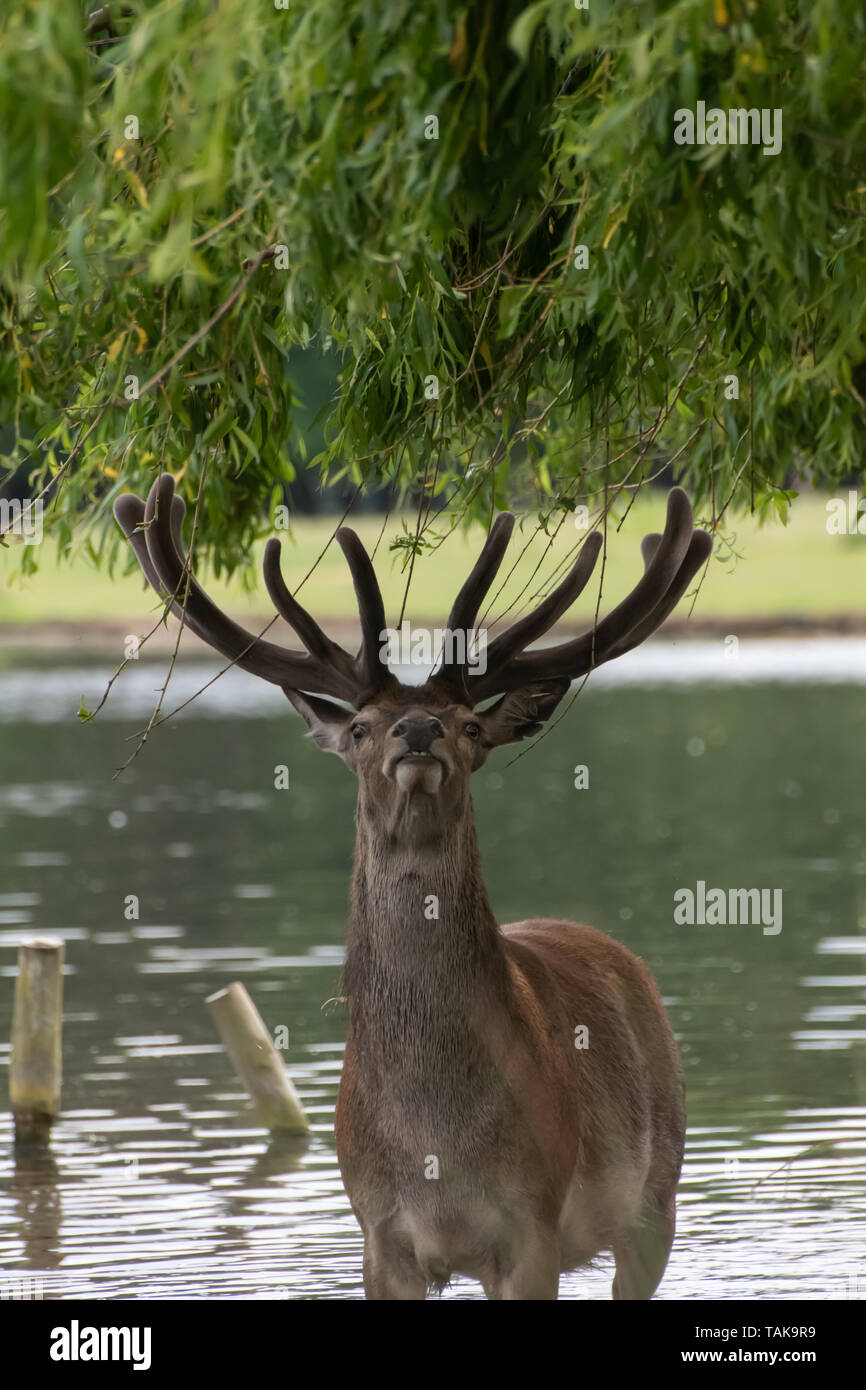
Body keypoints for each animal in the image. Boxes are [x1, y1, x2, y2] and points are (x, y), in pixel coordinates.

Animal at [114, 474, 712, 1300]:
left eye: (469, 724)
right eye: (362, 726)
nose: (420, 730)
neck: (436, 1146)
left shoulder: (532, 1227)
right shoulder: (378, 1233)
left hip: (658, 1196)